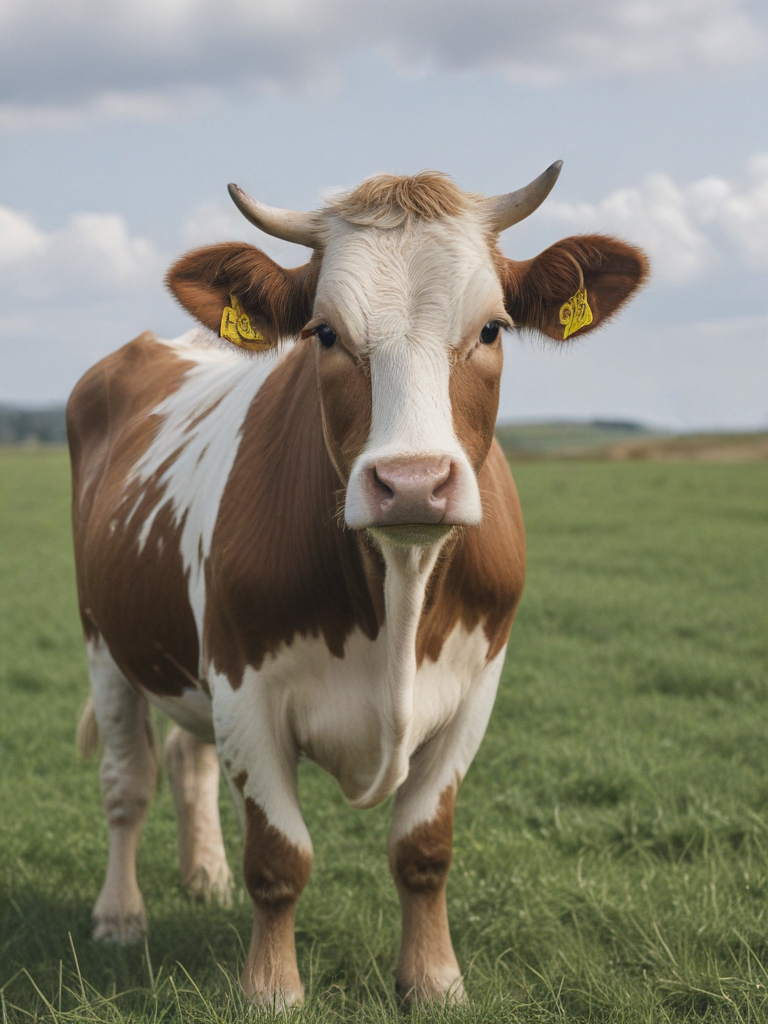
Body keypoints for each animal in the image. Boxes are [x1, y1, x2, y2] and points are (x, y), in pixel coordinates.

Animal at [67, 162, 647, 1006]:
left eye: (492, 329)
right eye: (325, 333)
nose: (412, 483)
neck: (399, 587)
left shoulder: (477, 688)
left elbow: (423, 849)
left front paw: (434, 980)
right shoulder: (243, 686)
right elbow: (280, 858)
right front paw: (271, 988)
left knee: (185, 758)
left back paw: (203, 875)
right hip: (105, 641)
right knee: (126, 784)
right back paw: (119, 915)